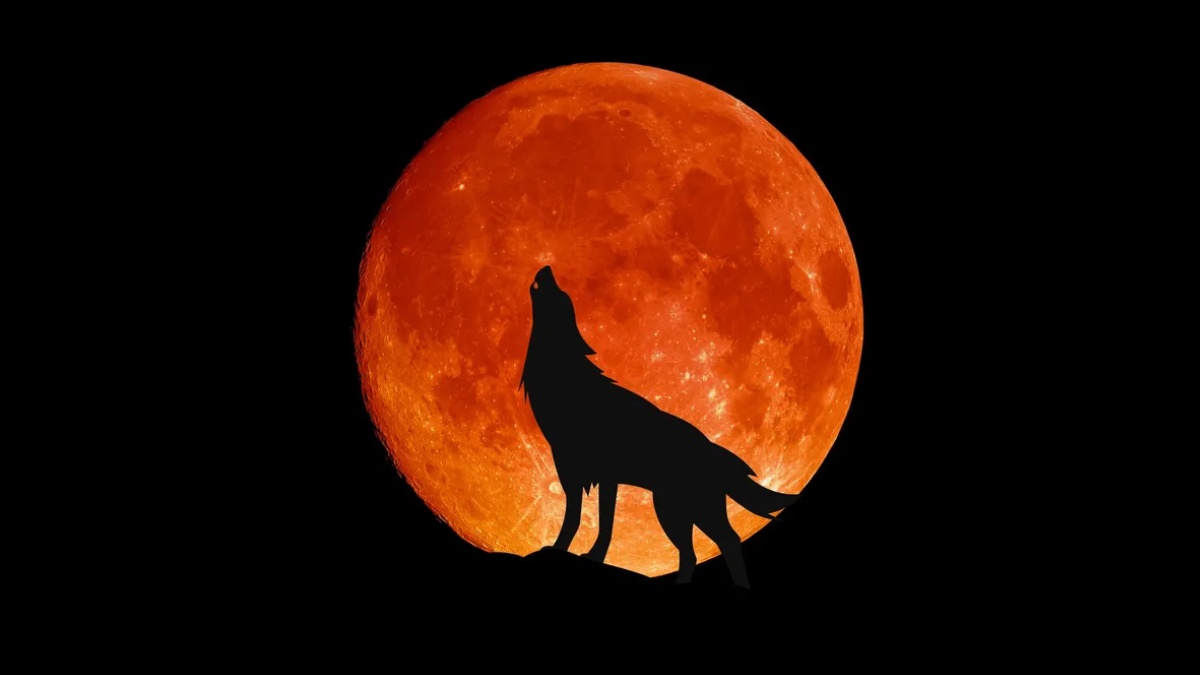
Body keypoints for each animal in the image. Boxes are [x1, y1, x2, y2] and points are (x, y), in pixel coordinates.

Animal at [519, 265, 800, 589]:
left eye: (561, 295)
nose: (546, 268)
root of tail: (715, 452)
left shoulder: (602, 475)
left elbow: (598, 524)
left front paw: (589, 555)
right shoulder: (575, 473)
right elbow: (576, 519)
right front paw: (563, 548)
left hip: (687, 509)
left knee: (727, 541)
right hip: (673, 511)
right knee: (693, 553)